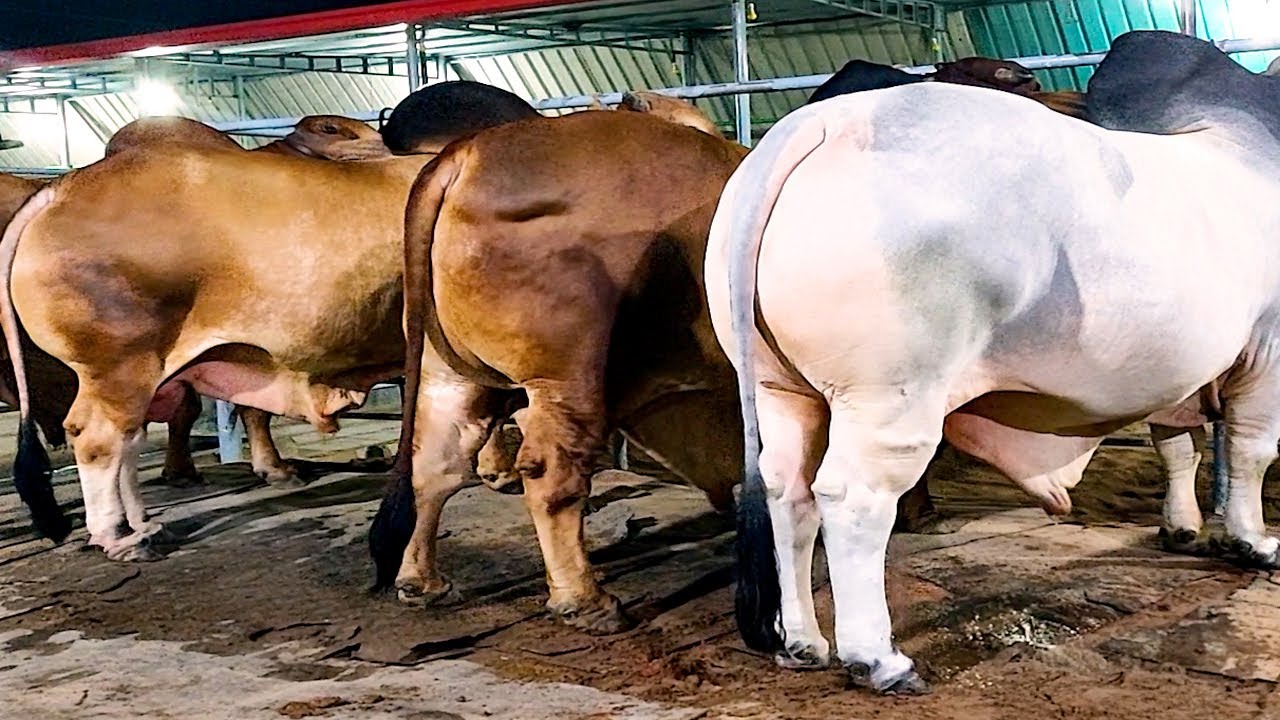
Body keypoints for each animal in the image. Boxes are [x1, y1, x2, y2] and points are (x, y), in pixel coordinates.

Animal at [1, 83, 541, 559]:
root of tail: (61, 188)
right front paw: (500, 472)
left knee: (128, 443)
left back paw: (143, 523)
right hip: (119, 365)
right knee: (96, 440)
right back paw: (118, 535)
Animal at [370, 108, 749, 634]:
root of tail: (470, 153)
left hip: (447, 370)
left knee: (436, 463)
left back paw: (422, 583)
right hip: (569, 376)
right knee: (552, 477)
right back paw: (586, 601)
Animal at [706, 29, 1280, 694]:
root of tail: (822, 123)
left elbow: (1179, 443)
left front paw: (1184, 529)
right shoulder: (1268, 348)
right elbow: (1251, 449)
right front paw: (1255, 543)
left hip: (778, 388)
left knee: (785, 489)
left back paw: (802, 642)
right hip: (891, 395)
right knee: (854, 498)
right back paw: (879, 659)